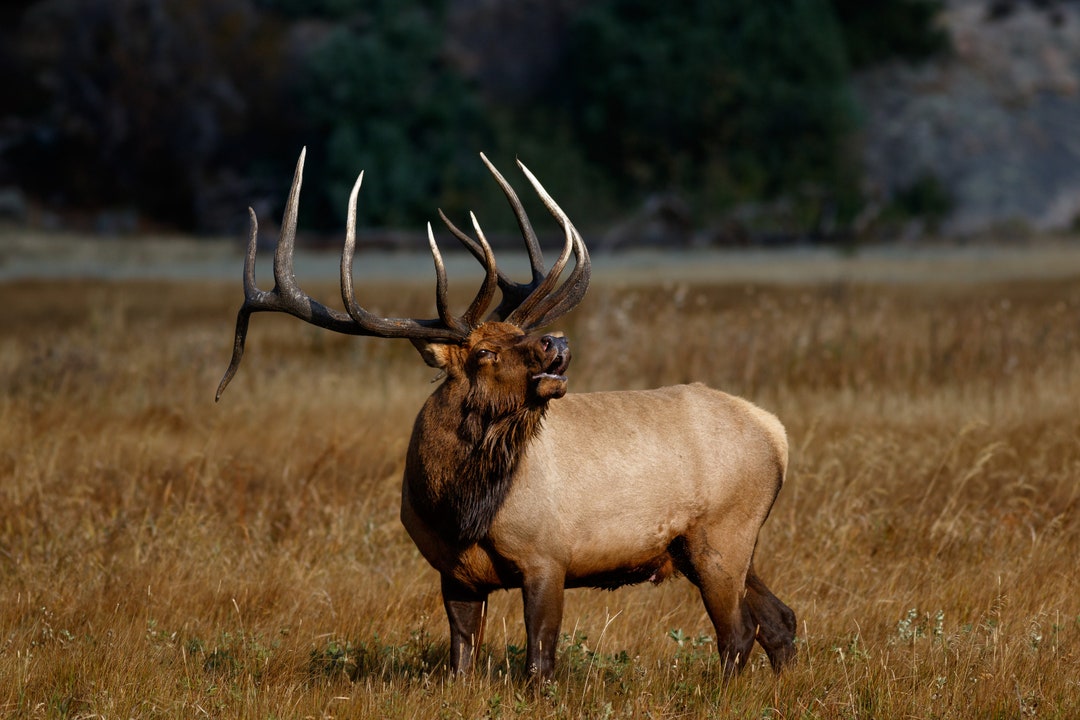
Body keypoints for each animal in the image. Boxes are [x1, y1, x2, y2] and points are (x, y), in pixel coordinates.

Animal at [215, 148, 797, 680]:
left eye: (519, 334)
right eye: (484, 352)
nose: (556, 342)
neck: (458, 511)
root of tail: (776, 432)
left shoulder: (548, 556)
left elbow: (540, 660)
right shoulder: (454, 573)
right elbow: (460, 660)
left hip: (722, 533)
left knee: (739, 630)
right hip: (719, 544)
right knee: (780, 619)